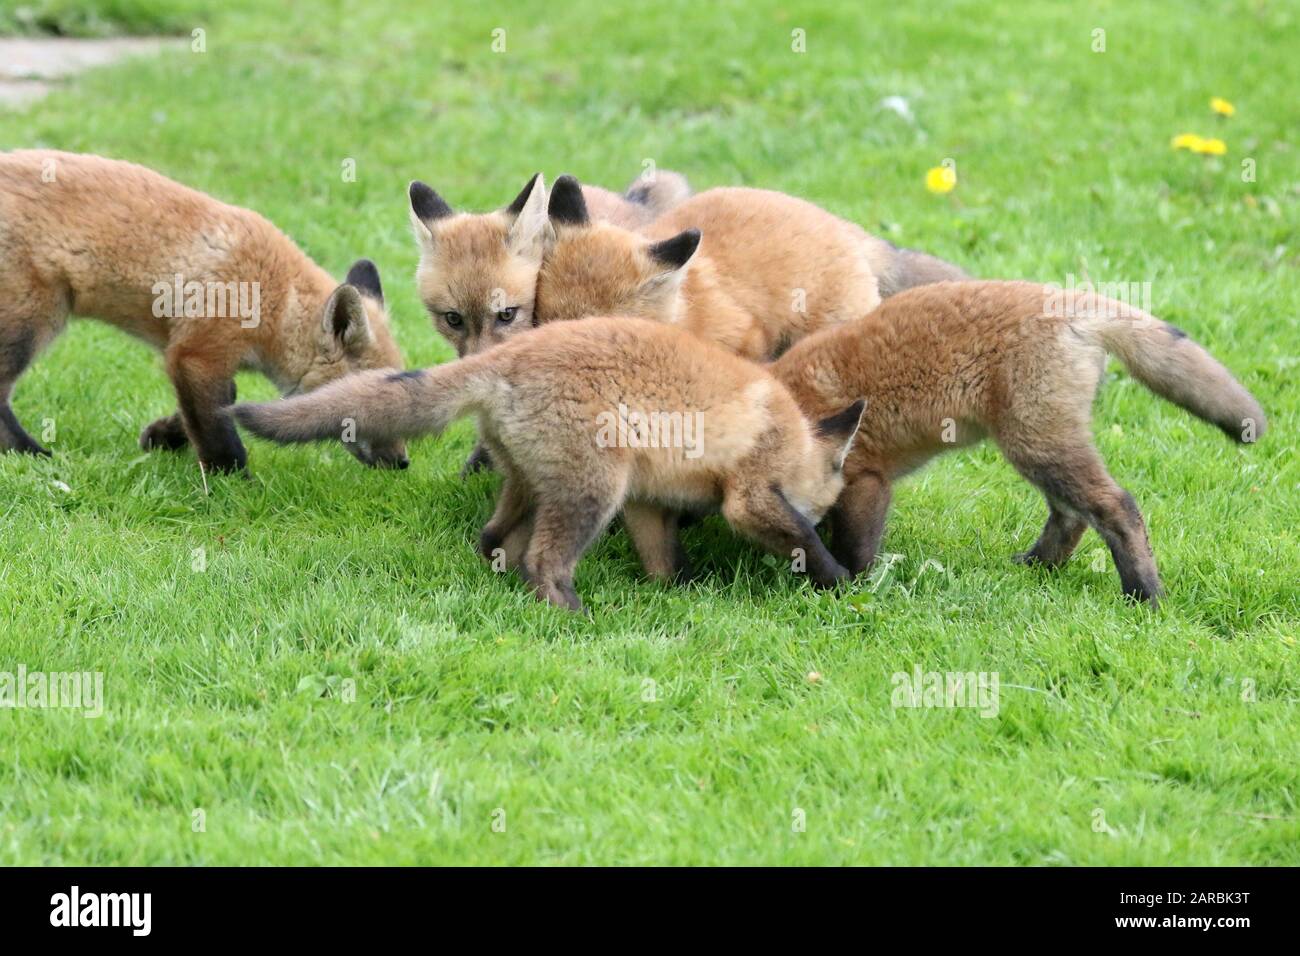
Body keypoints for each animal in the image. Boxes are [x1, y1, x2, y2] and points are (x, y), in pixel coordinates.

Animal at [0, 150, 407, 472]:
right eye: (373, 407)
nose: (403, 462)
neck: (274, 298)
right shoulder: (197, 354)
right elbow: (220, 435)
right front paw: (234, 486)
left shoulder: (205, 358)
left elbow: (221, 402)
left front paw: (163, 436)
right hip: (31, 323)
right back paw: (30, 454)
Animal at [232, 317, 865, 612]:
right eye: (829, 505)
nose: (835, 519)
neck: (790, 435)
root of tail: (508, 354)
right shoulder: (748, 498)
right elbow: (803, 539)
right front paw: (844, 581)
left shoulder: (644, 502)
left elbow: (666, 564)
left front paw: (683, 593)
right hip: (591, 493)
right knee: (542, 561)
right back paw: (571, 615)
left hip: (533, 485)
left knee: (493, 540)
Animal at [768, 280, 1268, 605]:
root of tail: (1068, 300)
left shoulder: (865, 478)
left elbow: (856, 551)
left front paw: (846, 587)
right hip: (1040, 445)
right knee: (1071, 517)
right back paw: (1040, 567)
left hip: (1036, 445)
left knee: (1117, 506)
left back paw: (1144, 596)